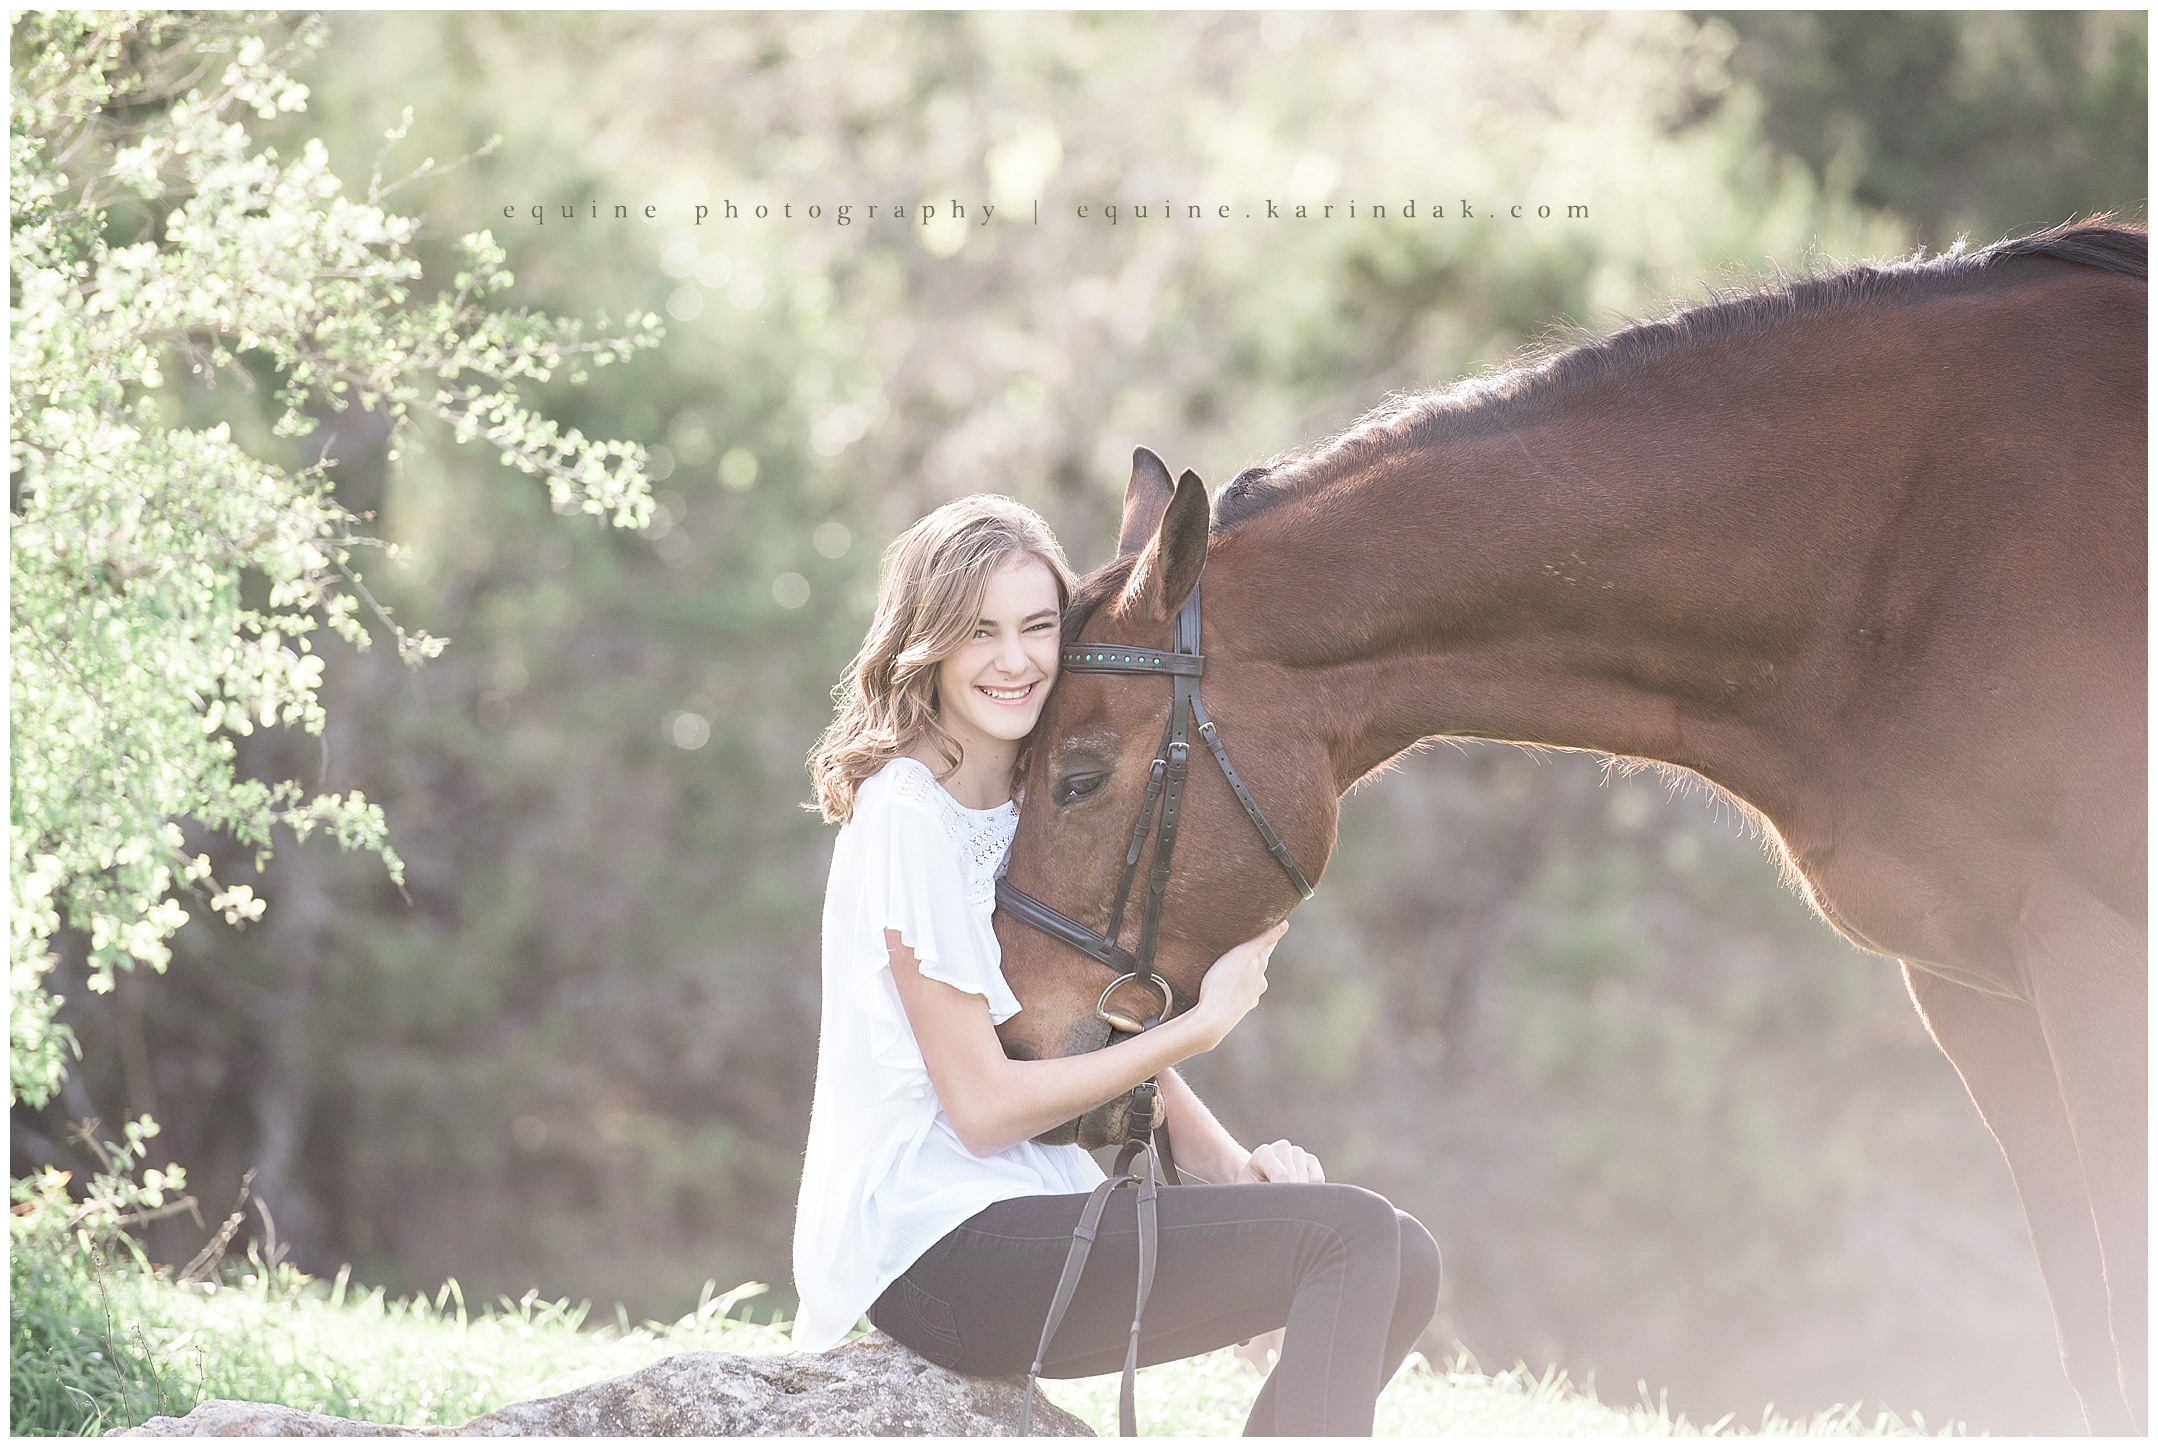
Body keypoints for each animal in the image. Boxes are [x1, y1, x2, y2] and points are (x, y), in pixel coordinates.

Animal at [991, 218, 2146, 1432]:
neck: (1923, 551)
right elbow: (2089, 1336)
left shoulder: (2095, 972)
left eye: (1075, 779)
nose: (1013, 1044)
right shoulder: (1981, 1000)